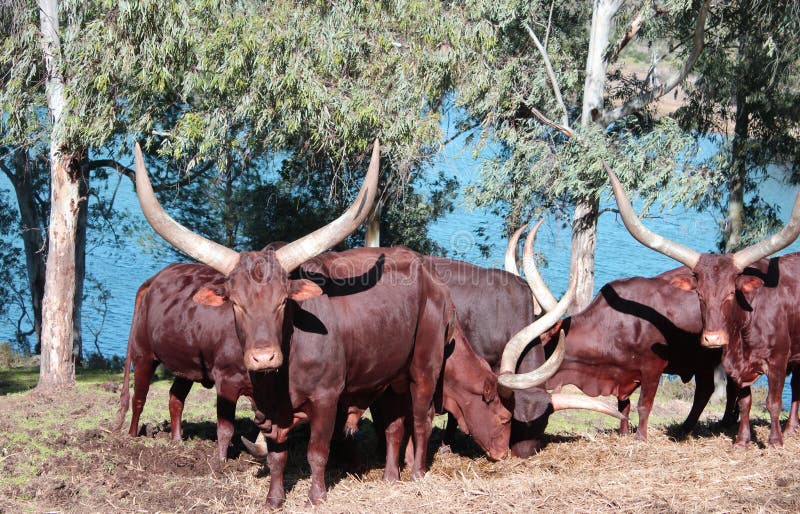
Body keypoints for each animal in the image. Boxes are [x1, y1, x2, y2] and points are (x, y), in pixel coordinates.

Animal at [131, 142, 550, 508]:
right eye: (235, 303)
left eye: (283, 301)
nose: (264, 357)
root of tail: (431, 277)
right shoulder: (269, 404)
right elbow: (278, 455)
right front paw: (274, 500)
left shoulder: (327, 397)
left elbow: (318, 451)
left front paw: (316, 497)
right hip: (390, 375)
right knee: (395, 425)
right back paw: (391, 477)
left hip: (424, 366)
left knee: (421, 417)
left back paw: (415, 475)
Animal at [604, 160, 800, 447]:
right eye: (700, 295)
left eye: (731, 293)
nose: (713, 338)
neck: (747, 327)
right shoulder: (735, 368)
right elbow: (745, 403)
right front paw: (741, 442)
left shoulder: (777, 361)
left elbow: (773, 402)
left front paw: (775, 442)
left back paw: (788, 429)